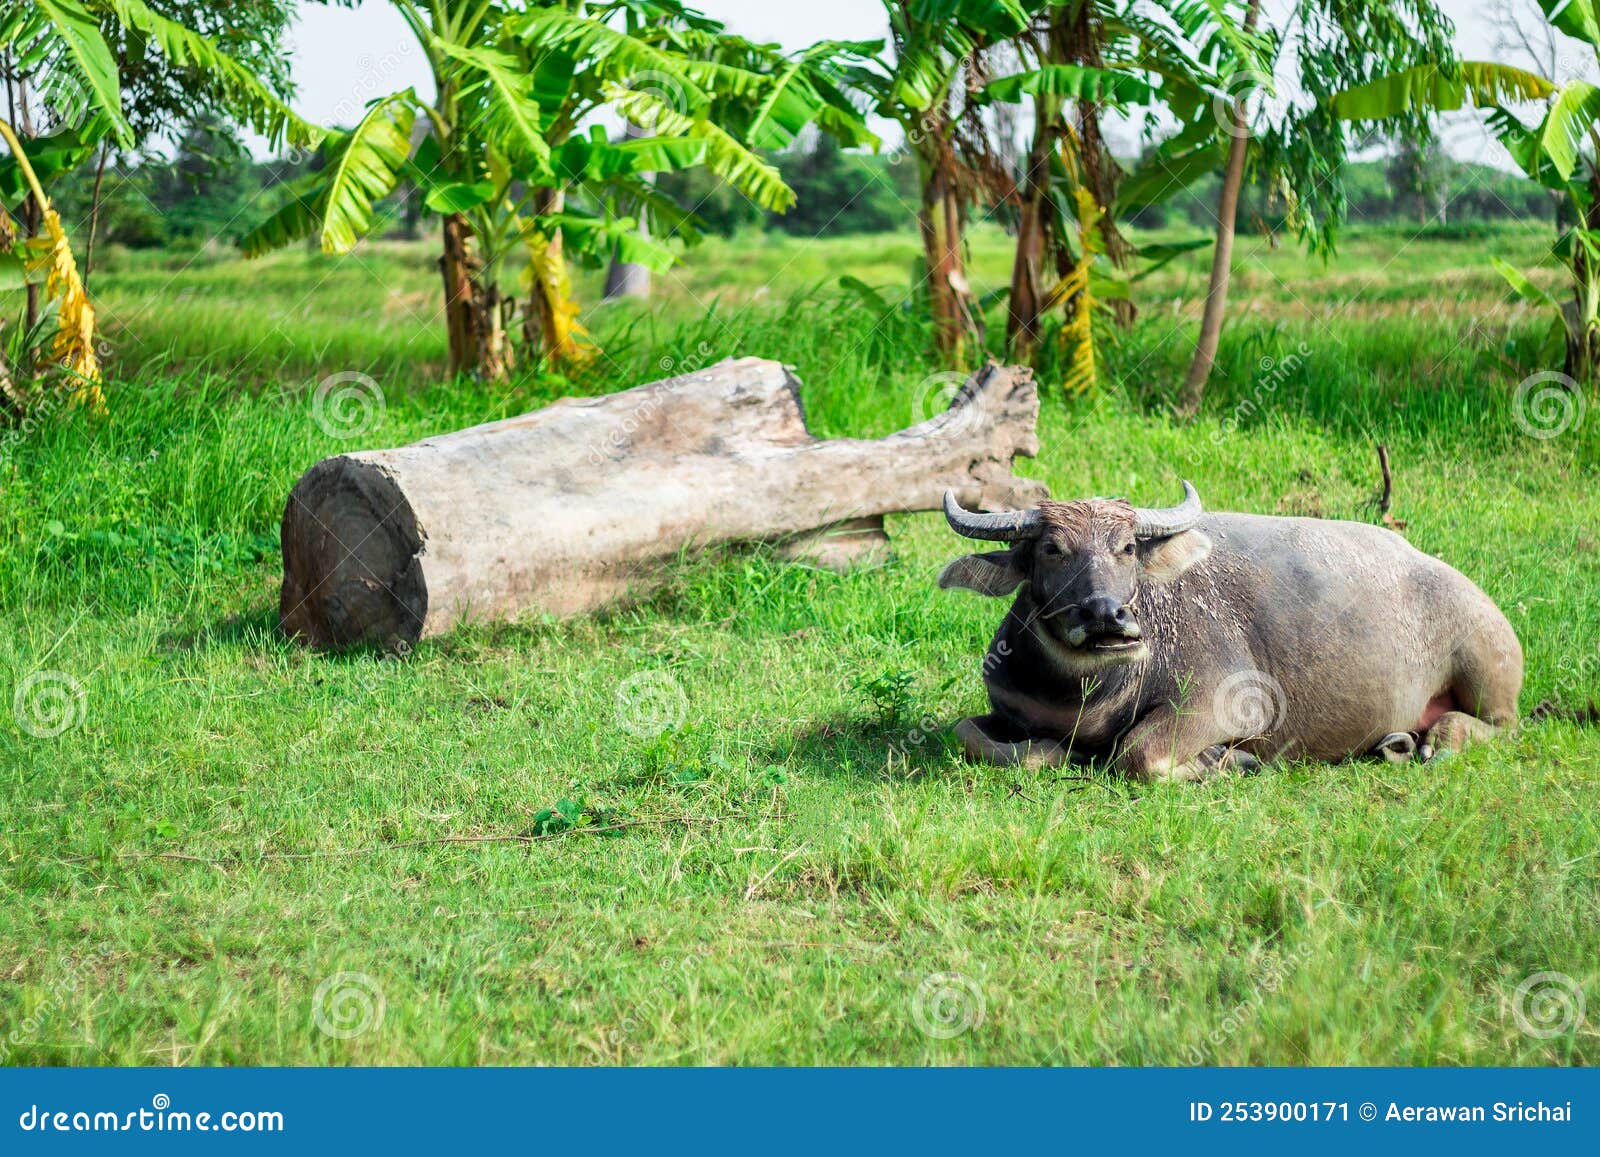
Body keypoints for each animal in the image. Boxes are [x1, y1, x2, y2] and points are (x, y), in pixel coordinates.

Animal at [938, 482, 1523, 781]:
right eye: (1051, 549)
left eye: (1127, 548)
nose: (1107, 615)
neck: (1085, 692)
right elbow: (970, 735)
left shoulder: (1232, 700)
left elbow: (1139, 754)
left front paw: (1223, 760)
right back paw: (1397, 743)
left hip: (1486, 663)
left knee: (1502, 725)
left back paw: (1439, 741)